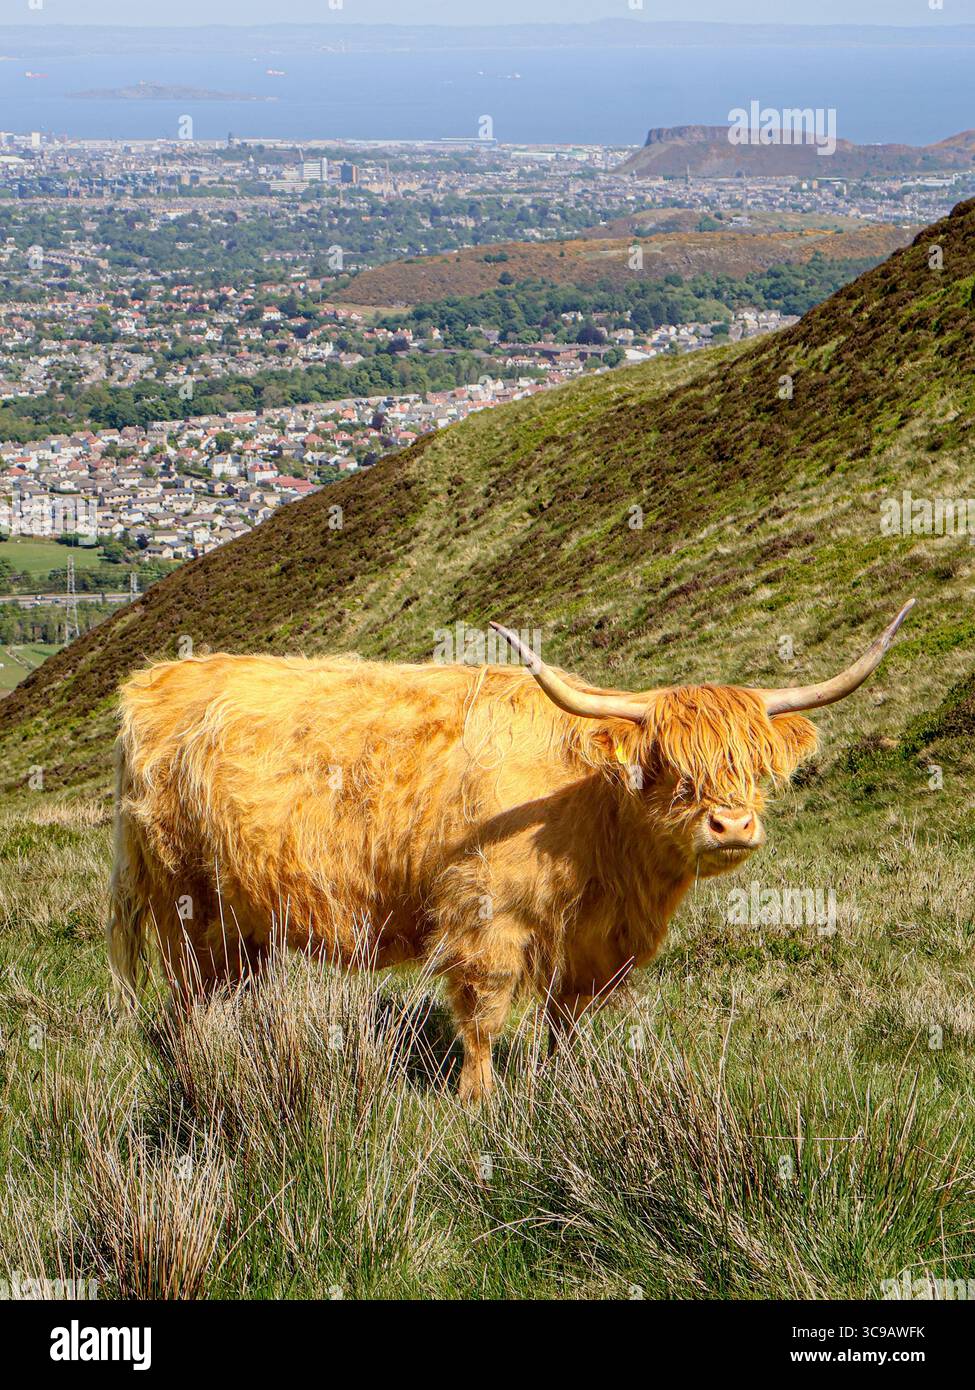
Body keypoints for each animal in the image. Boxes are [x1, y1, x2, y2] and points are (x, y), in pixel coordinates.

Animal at [108, 600, 913, 1101]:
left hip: (243, 922)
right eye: (665, 766)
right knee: (189, 1002)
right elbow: (484, 1016)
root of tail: (154, 684)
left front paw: (563, 1088)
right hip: (187, 905)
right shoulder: (485, 919)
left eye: (751, 764)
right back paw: (202, 1070)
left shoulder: (589, 946)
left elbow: (566, 1023)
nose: (732, 827)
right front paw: (479, 1099)